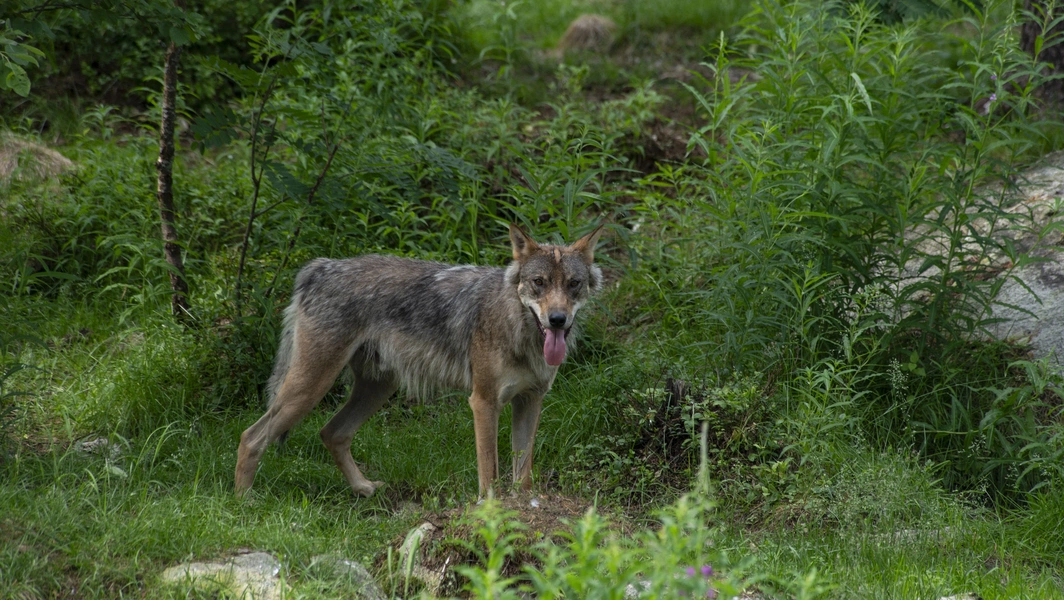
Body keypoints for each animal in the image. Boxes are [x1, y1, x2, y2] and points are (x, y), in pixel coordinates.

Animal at [234, 224, 604, 498]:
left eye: (573, 284)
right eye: (539, 283)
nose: (557, 320)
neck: (518, 328)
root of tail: (321, 266)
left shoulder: (530, 400)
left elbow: (522, 473)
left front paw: (524, 509)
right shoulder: (483, 402)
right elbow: (489, 474)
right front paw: (491, 514)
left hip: (378, 388)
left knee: (332, 432)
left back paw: (363, 488)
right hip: (311, 387)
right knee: (251, 437)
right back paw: (244, 501)